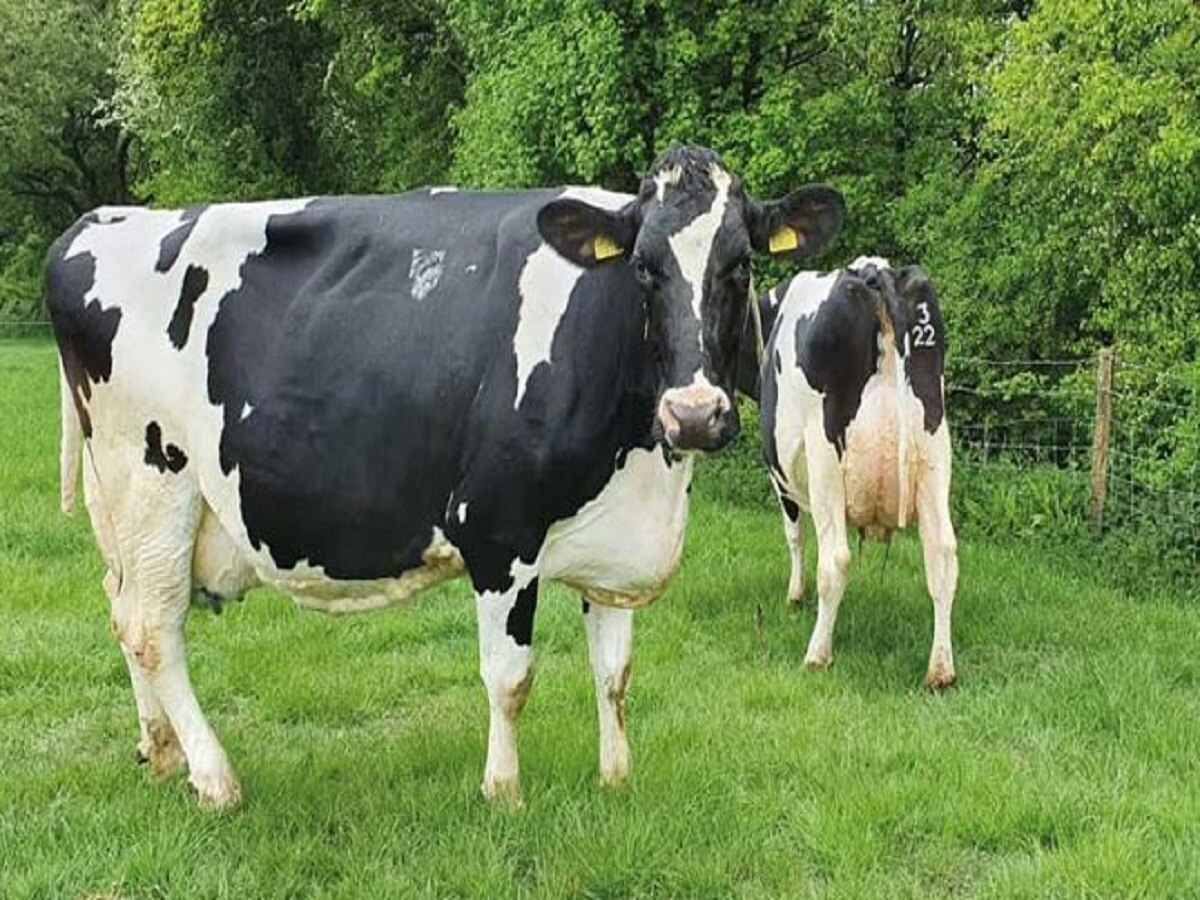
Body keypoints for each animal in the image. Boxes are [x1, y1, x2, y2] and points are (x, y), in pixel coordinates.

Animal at [46, 146, 845, 809]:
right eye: (643, 267)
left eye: (739, 266)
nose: (694, 414)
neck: (648, 467)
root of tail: (98, 222)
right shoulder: (498, 532)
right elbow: (510, 677)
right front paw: (503, 793)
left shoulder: (615, 547)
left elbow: (615, 674)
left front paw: (616, 782)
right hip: (153, 480)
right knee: (154, 627)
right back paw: (214, 779)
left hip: (121, 506)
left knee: (123, 610)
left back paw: (161, 751)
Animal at [741, 257, 958, 689]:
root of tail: (877, 273)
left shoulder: (780, 476)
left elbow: (795, 534)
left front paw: (795, 595)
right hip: (934, 449)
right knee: (942, 553)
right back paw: (941, 670)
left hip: (825, 454)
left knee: (836, 559)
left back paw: (817, 654)